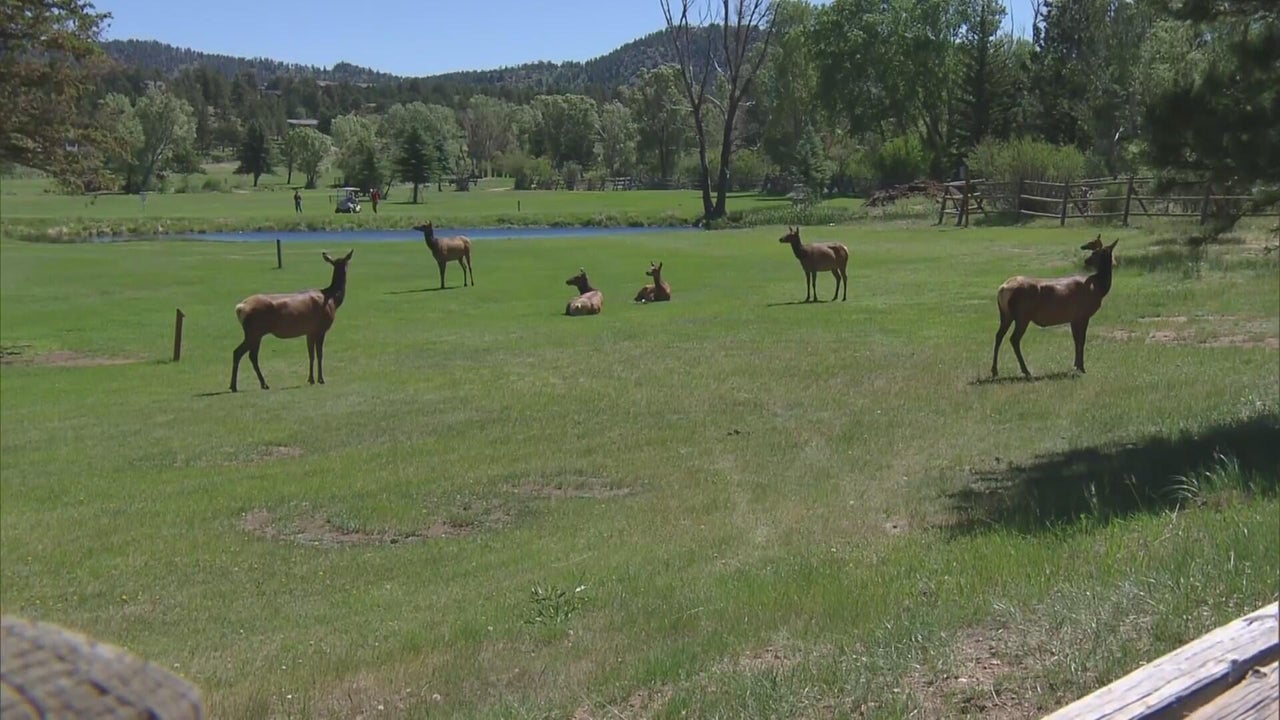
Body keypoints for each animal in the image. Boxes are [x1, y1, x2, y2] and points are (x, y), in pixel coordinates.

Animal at [229, 250, 352, 392]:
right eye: (347, 262)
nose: (346, 270)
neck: (333, 300)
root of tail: (240, 308)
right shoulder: (321, 328)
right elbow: (320, 354)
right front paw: (321, 379)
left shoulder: (309, 331)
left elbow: (311, 354)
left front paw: (310, 379)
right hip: (254, 331)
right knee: (243, 353)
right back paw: (248, 385)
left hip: (254, 333)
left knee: (247, 355)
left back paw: (246, 384)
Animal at [991, 237, 1119, 378]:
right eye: (1094, 252)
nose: (1086, 261)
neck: (1099, 287)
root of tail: (1002, 289)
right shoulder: (1083, 315)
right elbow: (1082, 340)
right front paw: (1081, 367)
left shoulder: (1073, 318)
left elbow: (1076, 339)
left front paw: (1075, 365)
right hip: (1022, 315)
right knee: (1014, 339)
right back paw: (1026, 371)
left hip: (1005, 314)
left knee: (998, 335)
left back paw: (995, 370)